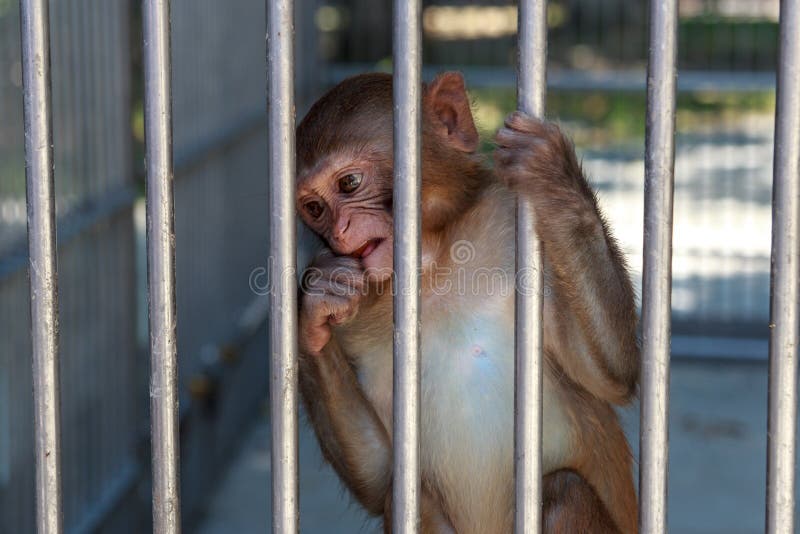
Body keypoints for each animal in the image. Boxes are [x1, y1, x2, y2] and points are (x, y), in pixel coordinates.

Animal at [294, 71, 639, 534]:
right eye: (314, 208)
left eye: (349, 183)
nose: (340, 230)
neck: (430, 265)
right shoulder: (357, 316)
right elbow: (380, 475)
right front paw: (316, 298)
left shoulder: (512, 222)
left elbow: (614, 372)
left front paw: (554, 177)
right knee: (412, 499)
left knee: (566, 492)